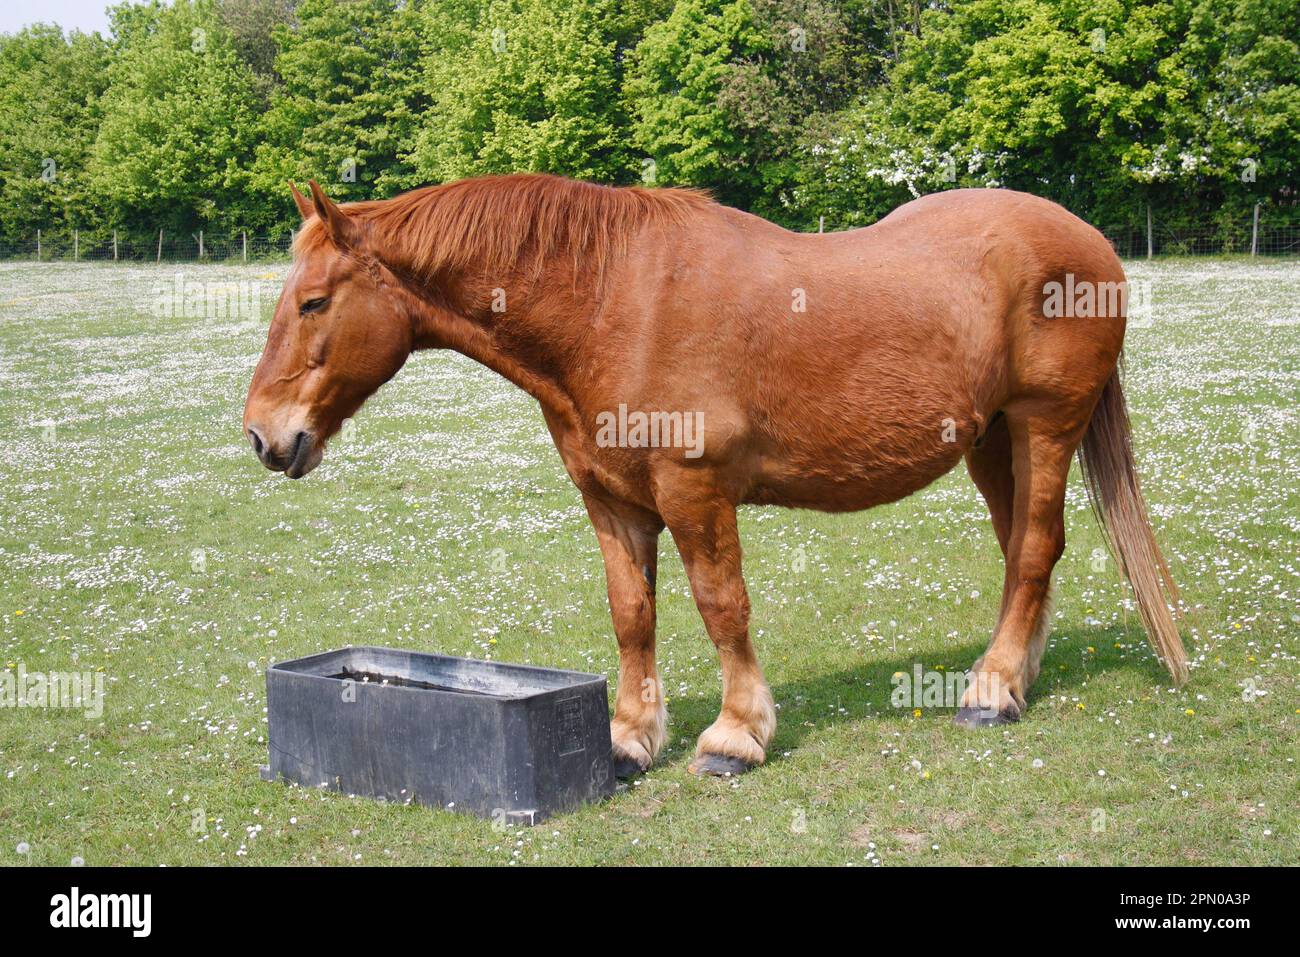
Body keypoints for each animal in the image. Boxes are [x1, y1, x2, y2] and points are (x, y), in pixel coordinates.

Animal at [244, 174, 1186, 777]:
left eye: (314, 301)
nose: (263, 434)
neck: (613, 301)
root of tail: (1092, 242)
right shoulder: (612, 501)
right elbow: (633, 614)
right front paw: (630, 739)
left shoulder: (693, 490)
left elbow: (720, 604)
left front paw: (735, 737)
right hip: (991, 440)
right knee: (1024, 550)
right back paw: (1011, 675)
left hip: (1043, 424)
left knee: (1033, 547)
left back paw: (992, 691)